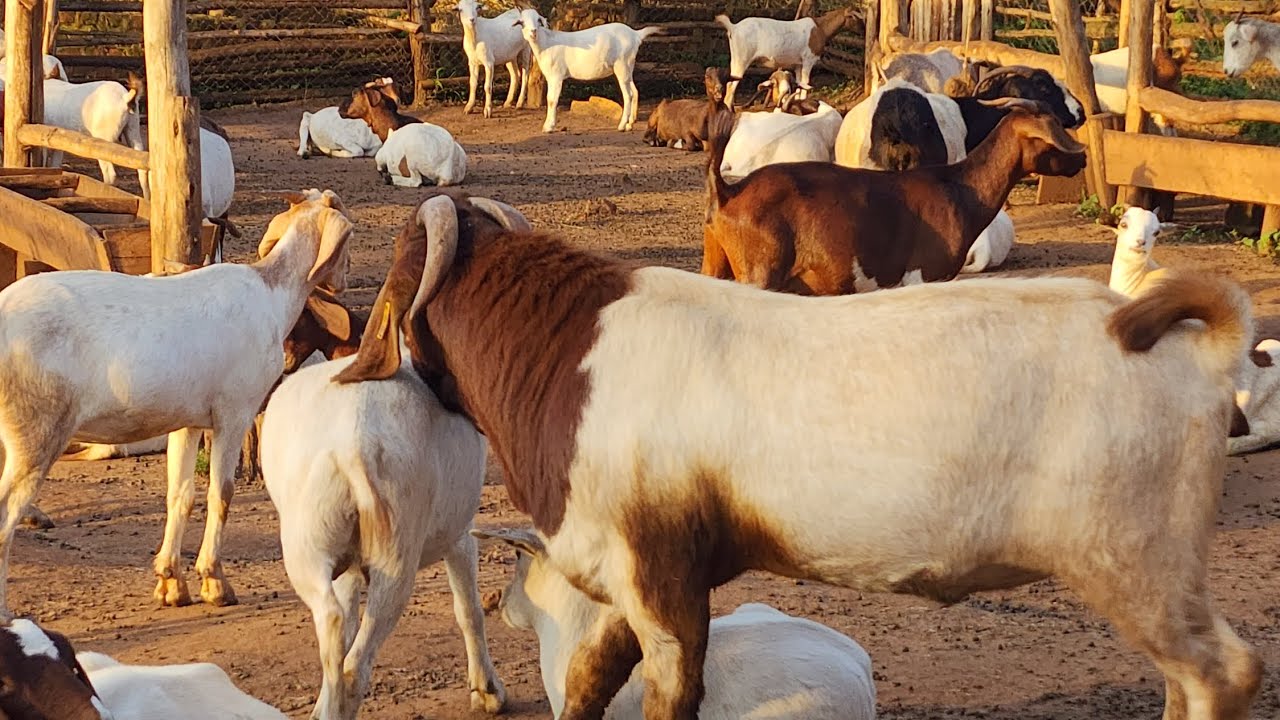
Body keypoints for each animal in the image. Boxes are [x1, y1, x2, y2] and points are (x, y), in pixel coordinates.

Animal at [0, 189, 353, 615]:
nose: (343, 281)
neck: (272, 295)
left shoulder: (189, 421)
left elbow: (179, 495)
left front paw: (171, 583)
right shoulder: (234, 412)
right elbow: (221, 493)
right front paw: (215, 583)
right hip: (36, 430)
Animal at [262, 349, 509, 719]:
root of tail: (352, 445)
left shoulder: (348, 565)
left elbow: (349, 613)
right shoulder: (460, 535)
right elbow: (469, 610)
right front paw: (488, 692)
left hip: (307, 541)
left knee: (333, 623)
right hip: (397, 549)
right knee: (356, 663)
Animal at [515, 8, 660, 133]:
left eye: (538, 20)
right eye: (522, 22)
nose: (533, 32)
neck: (547, 43)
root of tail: (635, 34)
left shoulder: (556, 75)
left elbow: (551, 100)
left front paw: (548, 127)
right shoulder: (551, 77)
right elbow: (550, 99)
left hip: (622, 64)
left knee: (628, 95)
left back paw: (622, 125)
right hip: (628, 67)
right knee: (634, 91)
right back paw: (630, 124)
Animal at [712, 104, 1084, 294]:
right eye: (1053, 135)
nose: (1081, 159)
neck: (960, 188)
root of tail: (729, 191)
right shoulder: (924, 276)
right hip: (760, 272)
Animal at [718, 6, 861, 108]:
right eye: (853, 16)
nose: (862, 30)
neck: (821, 29)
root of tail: (734, 27)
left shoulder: (798, 64)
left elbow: (799, 83)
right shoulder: (808, 60)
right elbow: (806, 82)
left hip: (735, 60)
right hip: (741, 59)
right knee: (731, 88)